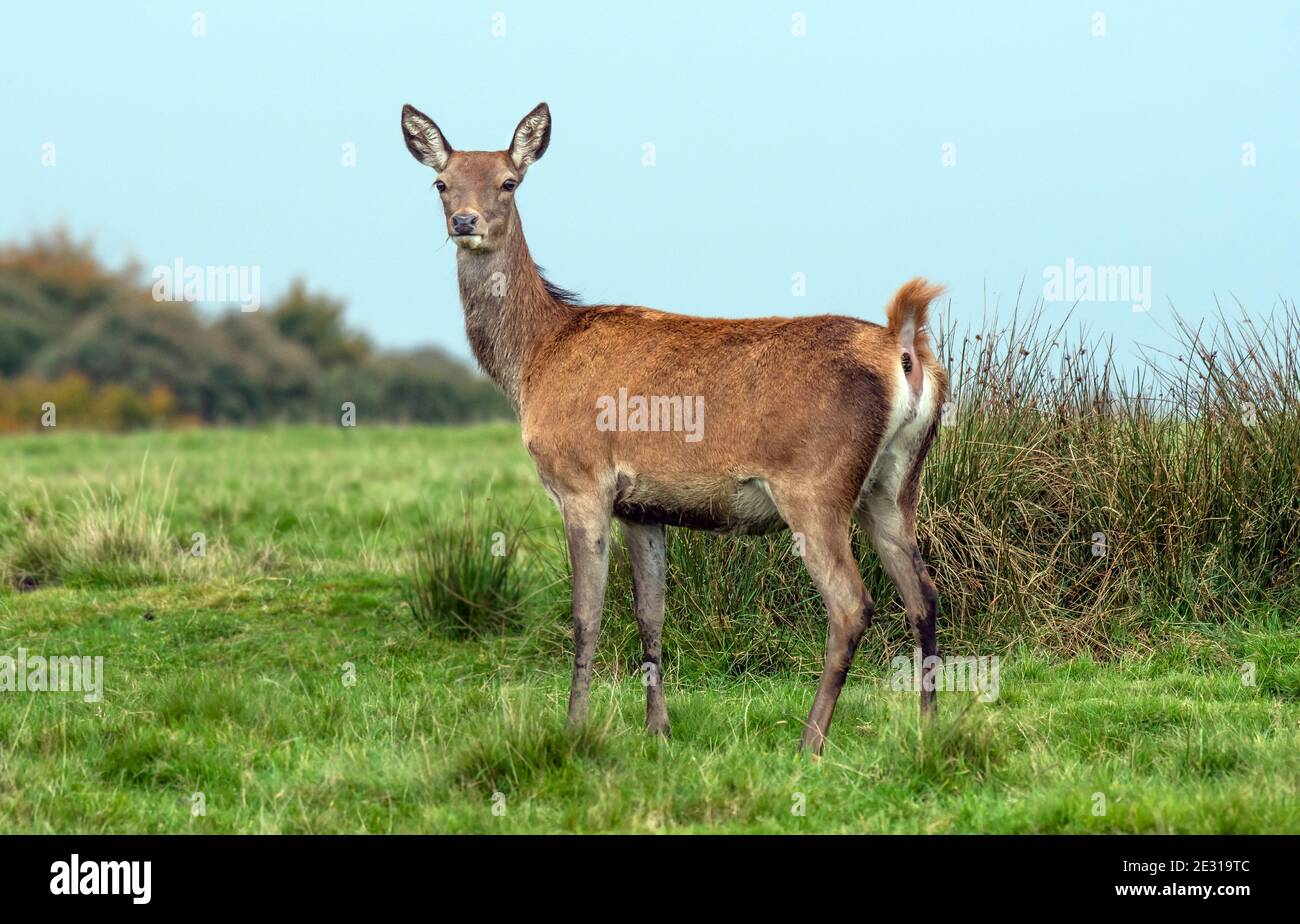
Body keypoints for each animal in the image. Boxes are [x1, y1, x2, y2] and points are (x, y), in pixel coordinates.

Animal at [400, 102, 947, 753]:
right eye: (441, 182)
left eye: (509, 182)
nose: (465, 220)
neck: (532, 361)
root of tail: (907, 353)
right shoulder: (643, 506)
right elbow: (650, 612)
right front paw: (657, 728)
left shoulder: (581, 482)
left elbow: (586, 614)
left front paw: (575, 727)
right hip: (894, 485)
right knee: (923, 594)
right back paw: (928, 728)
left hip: (815, 486)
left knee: (852, 604)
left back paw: (809, 742)